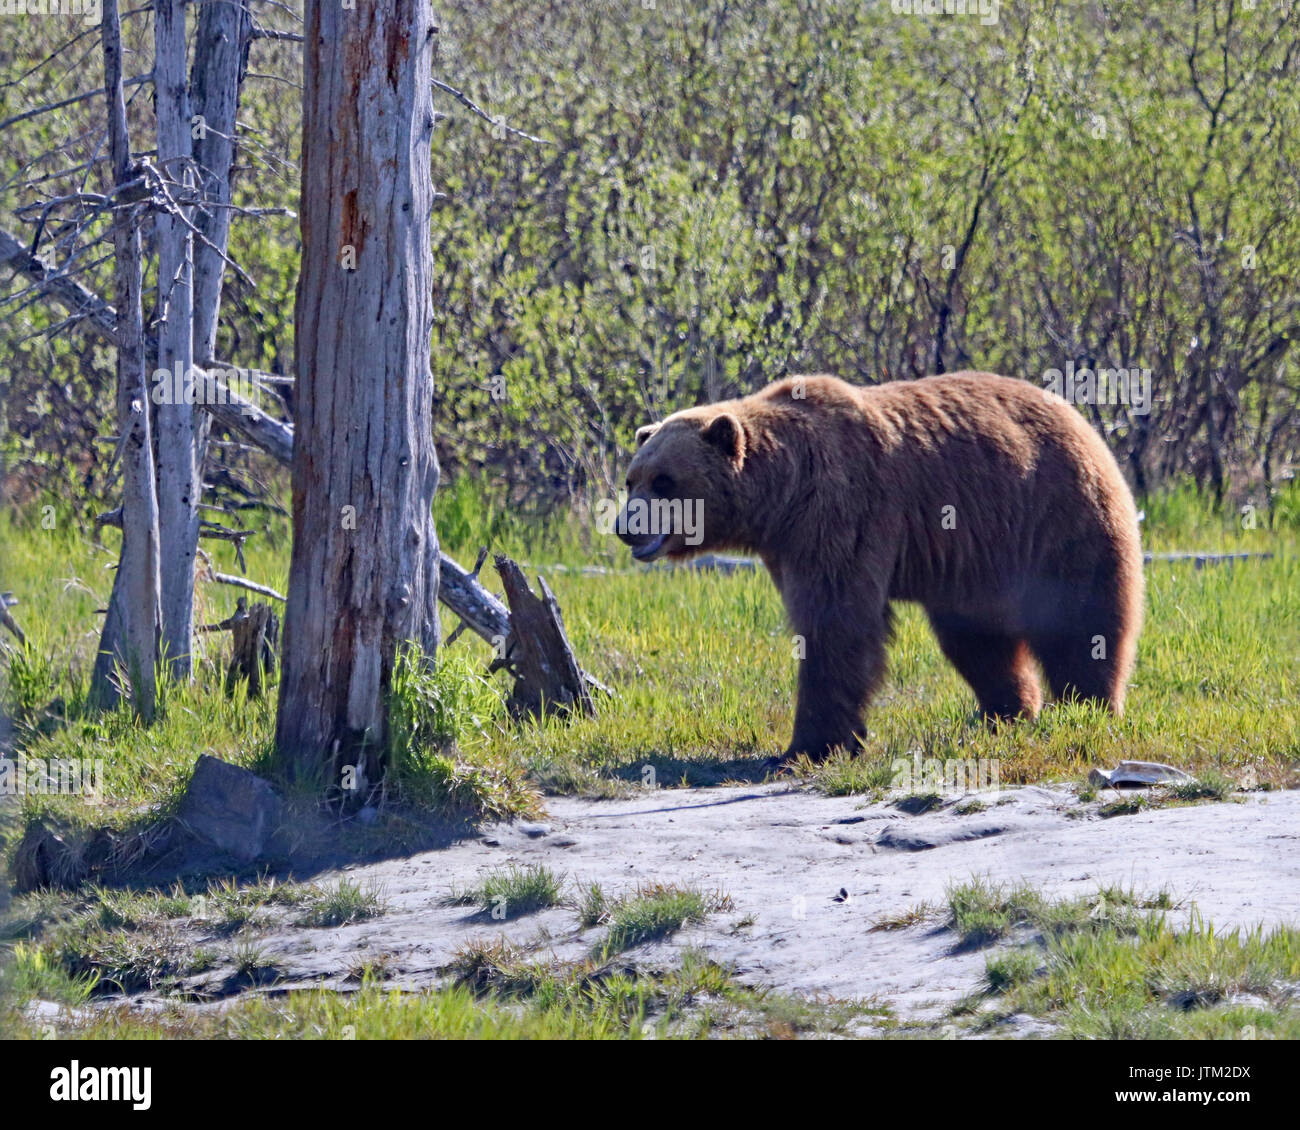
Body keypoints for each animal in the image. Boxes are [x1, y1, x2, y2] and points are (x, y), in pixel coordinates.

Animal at [617, 372, 1144, 763]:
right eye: (632, 479)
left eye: (664, 481)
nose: (626, 528)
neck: (781, 495)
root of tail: (1083, 421)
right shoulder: (788, 544)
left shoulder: (842, 512)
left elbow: (837, 625)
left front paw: (808, 746)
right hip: (979, 561)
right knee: (977, 641)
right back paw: (1007, 712)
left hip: (1057, 514)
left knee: (1081, 622)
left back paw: (1090, 706)